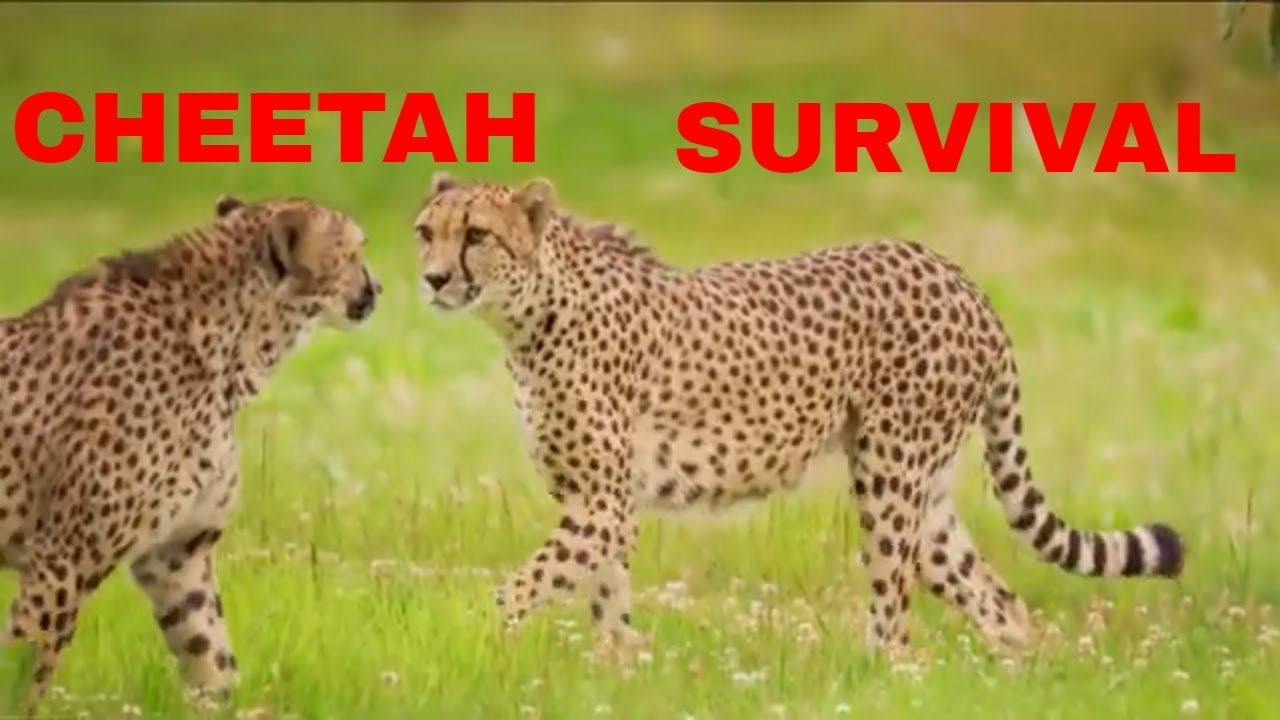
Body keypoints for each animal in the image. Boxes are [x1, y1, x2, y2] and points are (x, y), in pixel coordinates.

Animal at [0, 193, 379, 713]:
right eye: (354, 252)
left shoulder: (178, 556)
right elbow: (22, 676)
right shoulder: (63, 559)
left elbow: (211, 655)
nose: (377, 287)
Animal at [411, 172, 1184, 658]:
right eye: (425, 231)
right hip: (927, 496)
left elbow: (519, 587)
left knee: (898, 621)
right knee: (998, 601)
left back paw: (872, 678)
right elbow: (603, 596)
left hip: (889, 477)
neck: (529, 314)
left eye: (476, 234)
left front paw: (474, 639)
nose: (432, 278)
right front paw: (618, 666)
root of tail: (962, 279)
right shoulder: (597, 500)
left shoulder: (603, 502)